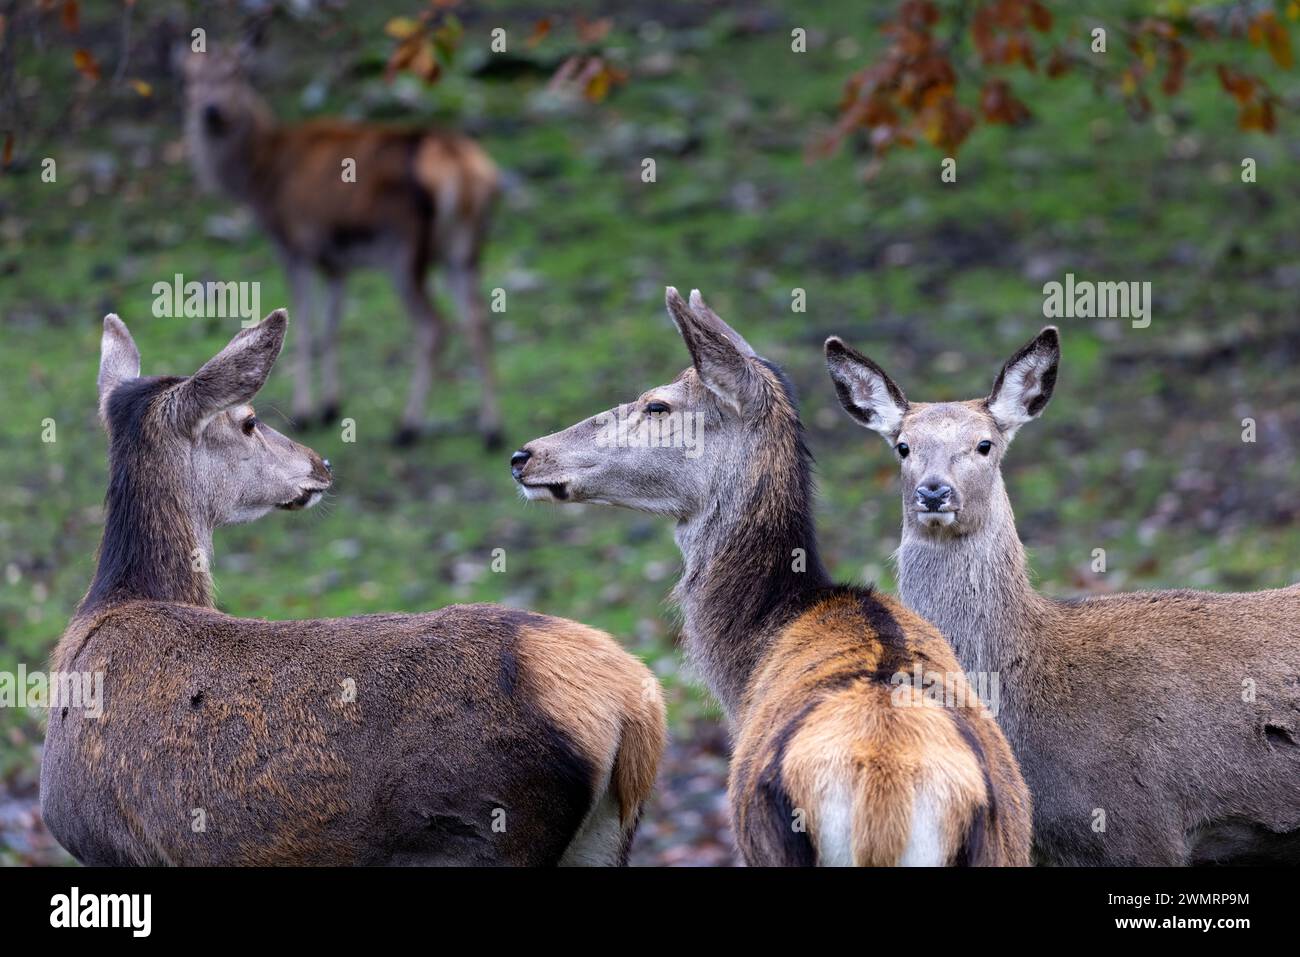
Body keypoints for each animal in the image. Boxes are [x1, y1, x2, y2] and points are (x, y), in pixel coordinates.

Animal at [40, 309, 665, 866]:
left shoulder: (110, 845)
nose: (321, 462)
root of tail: (639, 707)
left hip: (494, 832)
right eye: (248, 420)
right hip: (601, 841)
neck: (113, 602)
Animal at [180, 44, 502, 448]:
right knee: (478, 320)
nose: (211, 109)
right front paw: (330, 406)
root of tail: (467, 168)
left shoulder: (295, 244)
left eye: (234, 74)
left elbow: (304, 325)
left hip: (404, 251)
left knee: (434, 328)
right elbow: (331, 325)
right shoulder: (336, 260)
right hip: (463, 249)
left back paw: (409, 426)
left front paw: (305, 411)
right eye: (192, 78)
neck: (259, 180)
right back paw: (491, 429)